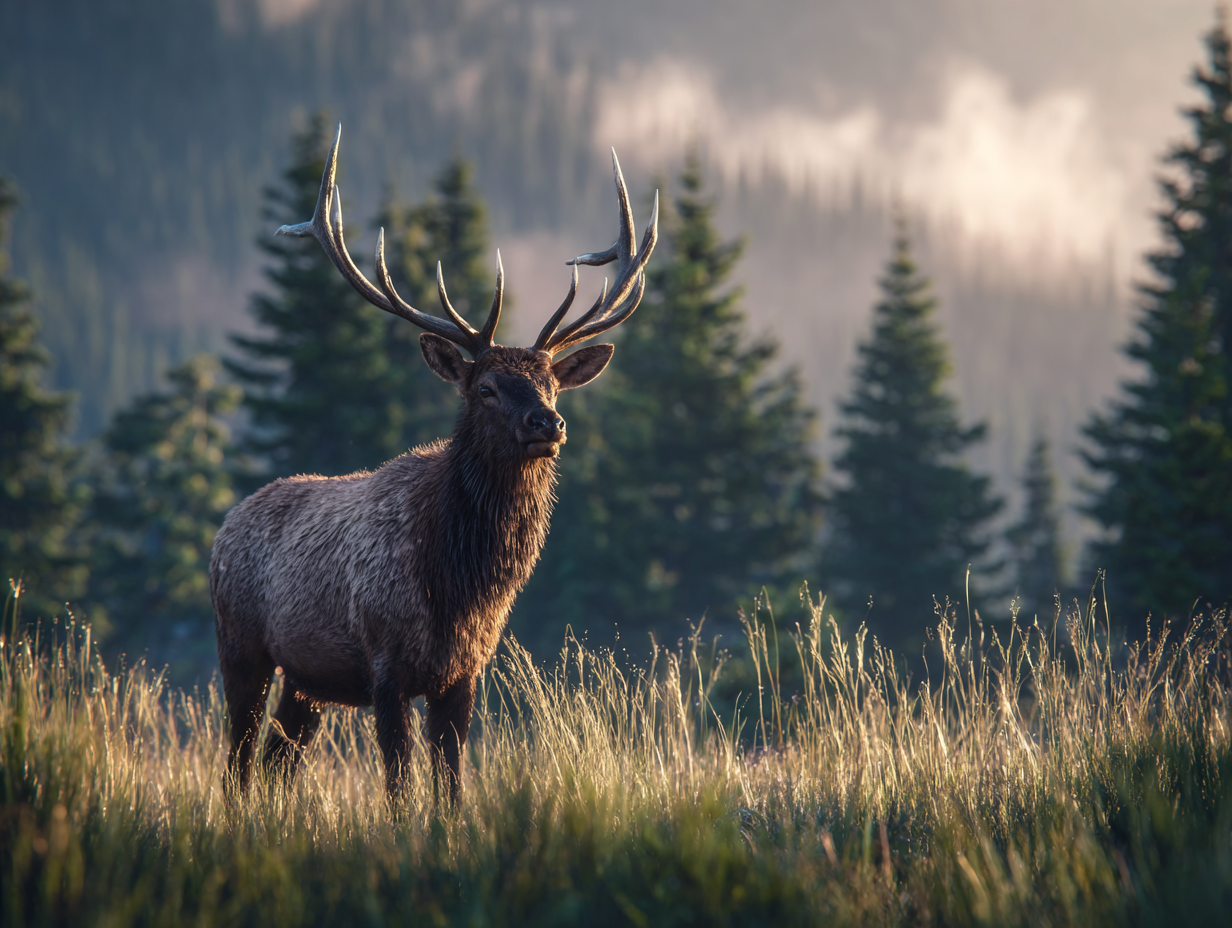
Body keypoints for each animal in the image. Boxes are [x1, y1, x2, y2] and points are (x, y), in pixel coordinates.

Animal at [209, 125, 657, 805]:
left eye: (553, 384)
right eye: (486, 389)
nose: (548, 425)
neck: (458, 586)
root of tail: (224, 526)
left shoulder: (463, 675)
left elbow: (451, 788)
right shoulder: (385, 666)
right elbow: (399, 787)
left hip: (308, 680)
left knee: (278, 760)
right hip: (241, 646)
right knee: (237, 762)